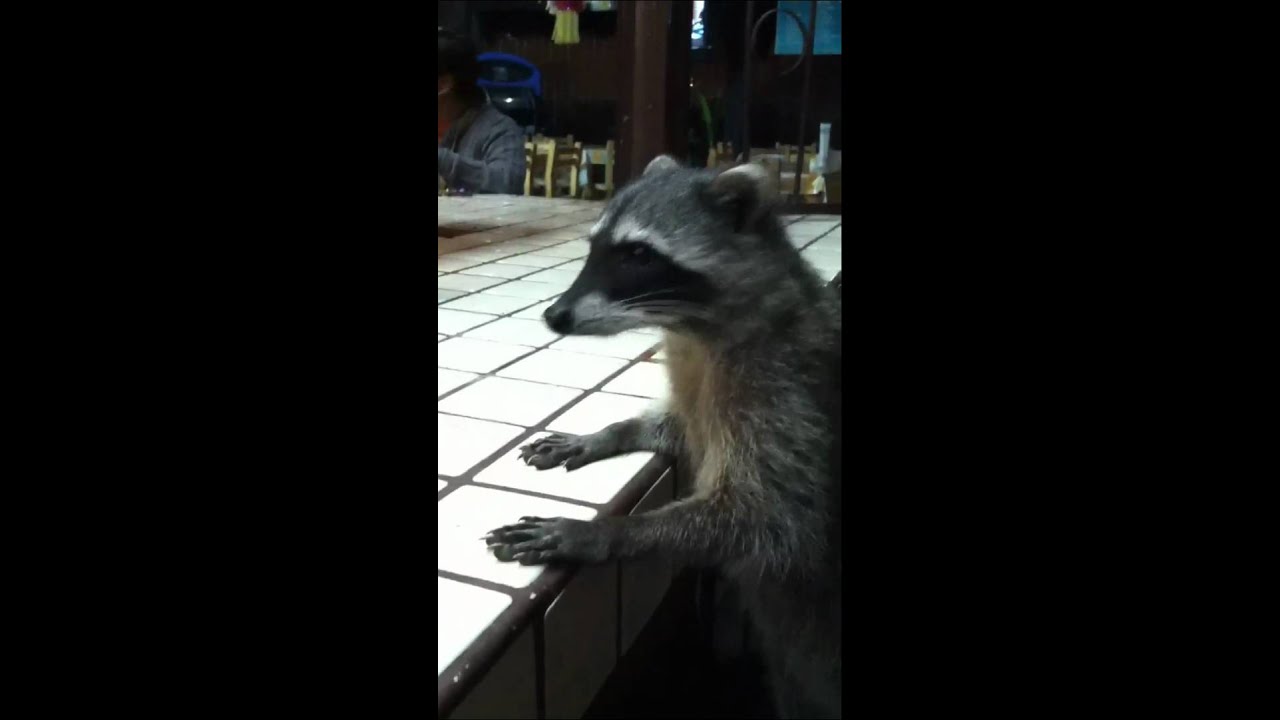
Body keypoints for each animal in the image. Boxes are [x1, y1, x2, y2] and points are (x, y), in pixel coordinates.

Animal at [484, 156, 842, 718]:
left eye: (637, 255)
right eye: (593, 247)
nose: (553, 315)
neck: (692, 331)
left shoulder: (787, 395)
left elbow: (772, 519)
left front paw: (607, 533)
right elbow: (677, 428)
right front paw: (609, 433)